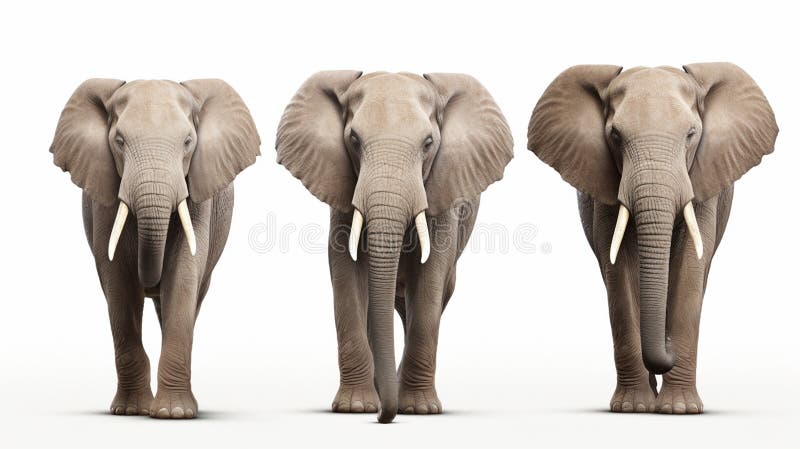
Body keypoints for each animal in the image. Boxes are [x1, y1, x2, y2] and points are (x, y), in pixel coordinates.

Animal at [50, 79, 260, 418]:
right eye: (119, 141)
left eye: (188, 142)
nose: (151, 281)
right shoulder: (105, 194)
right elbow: (118, 280)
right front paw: (130, 411)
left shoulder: (197, 194)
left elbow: (184, 273)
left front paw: (174, 414)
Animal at [276, 71, 513, 423]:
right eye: (354, 140)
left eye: (428, 144)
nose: (382, 417)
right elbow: (346, 272)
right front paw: (354, 407)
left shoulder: (444, 191)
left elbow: (430, 277)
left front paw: (420, 410)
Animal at [528, 63, 777, 414]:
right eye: (615, 136)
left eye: (691, 135)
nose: (667, 349)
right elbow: (618, 267)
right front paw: (633, 408)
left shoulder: (702, 180)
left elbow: (691, 266)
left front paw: (680, 410)